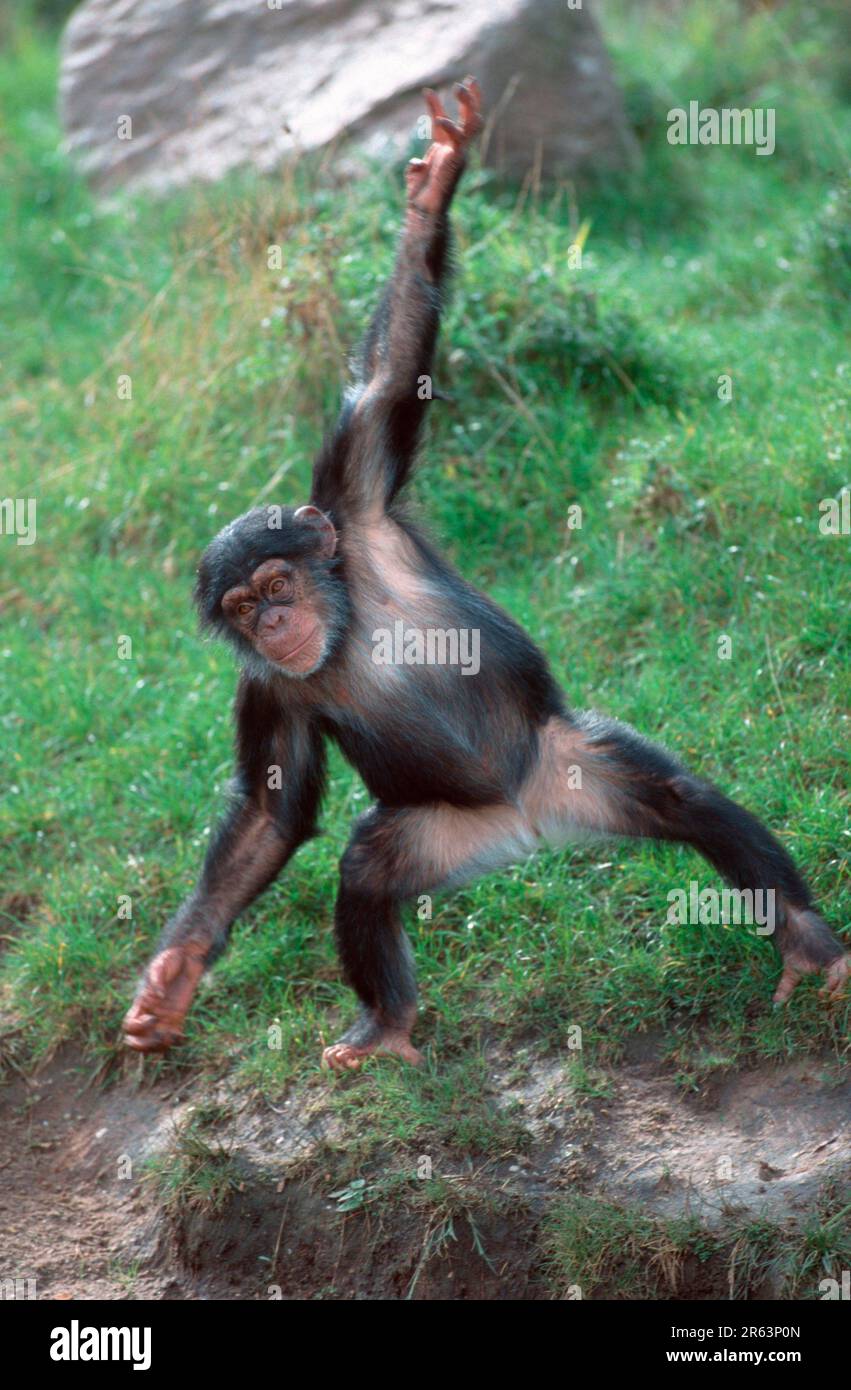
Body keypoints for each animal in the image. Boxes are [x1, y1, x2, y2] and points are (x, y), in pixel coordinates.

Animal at [123, 79, 849, 1071]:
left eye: (276, 586)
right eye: (239, 607)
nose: (271, 623)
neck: (342, 619)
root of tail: (530, 825)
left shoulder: (355, 495)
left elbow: (390, 375)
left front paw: (434, 181)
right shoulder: (264, 692)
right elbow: (270, 820)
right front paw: (177, 970)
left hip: (575, 764)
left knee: (685, 801)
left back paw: (808, 945)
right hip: (442, 833)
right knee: (363, 869)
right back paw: (384, 1026)